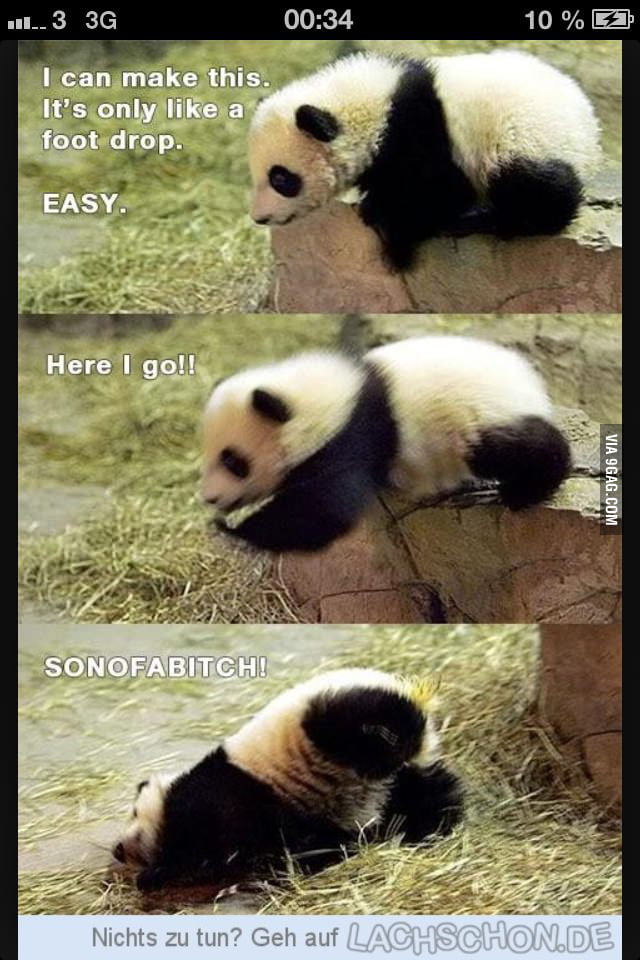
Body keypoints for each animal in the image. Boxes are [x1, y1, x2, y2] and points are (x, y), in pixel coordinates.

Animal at [112, 669, 462, 892]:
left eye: (134, 813)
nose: (117, 849)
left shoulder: (217, 800)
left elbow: (206, 848)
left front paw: (155, 874)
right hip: (402, 780)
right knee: (425, 796)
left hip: (336, 721)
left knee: (361, 725)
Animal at [202, 336, 571, 553]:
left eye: (234, 461)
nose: (209, 498)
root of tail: (534, 388)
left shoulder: (353, 437)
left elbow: (323, 510)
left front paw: (232, 530)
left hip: (480, 418)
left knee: (515, 449)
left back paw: (521, 491)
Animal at [248, 50, 601, 269]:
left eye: (281, 179)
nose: (260, 218)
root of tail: (590, 128)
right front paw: (372, 204)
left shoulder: (423, 135)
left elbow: (435, 193)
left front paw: (393, 239)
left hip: (523, 140)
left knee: (537, 190)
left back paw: (488, 220)